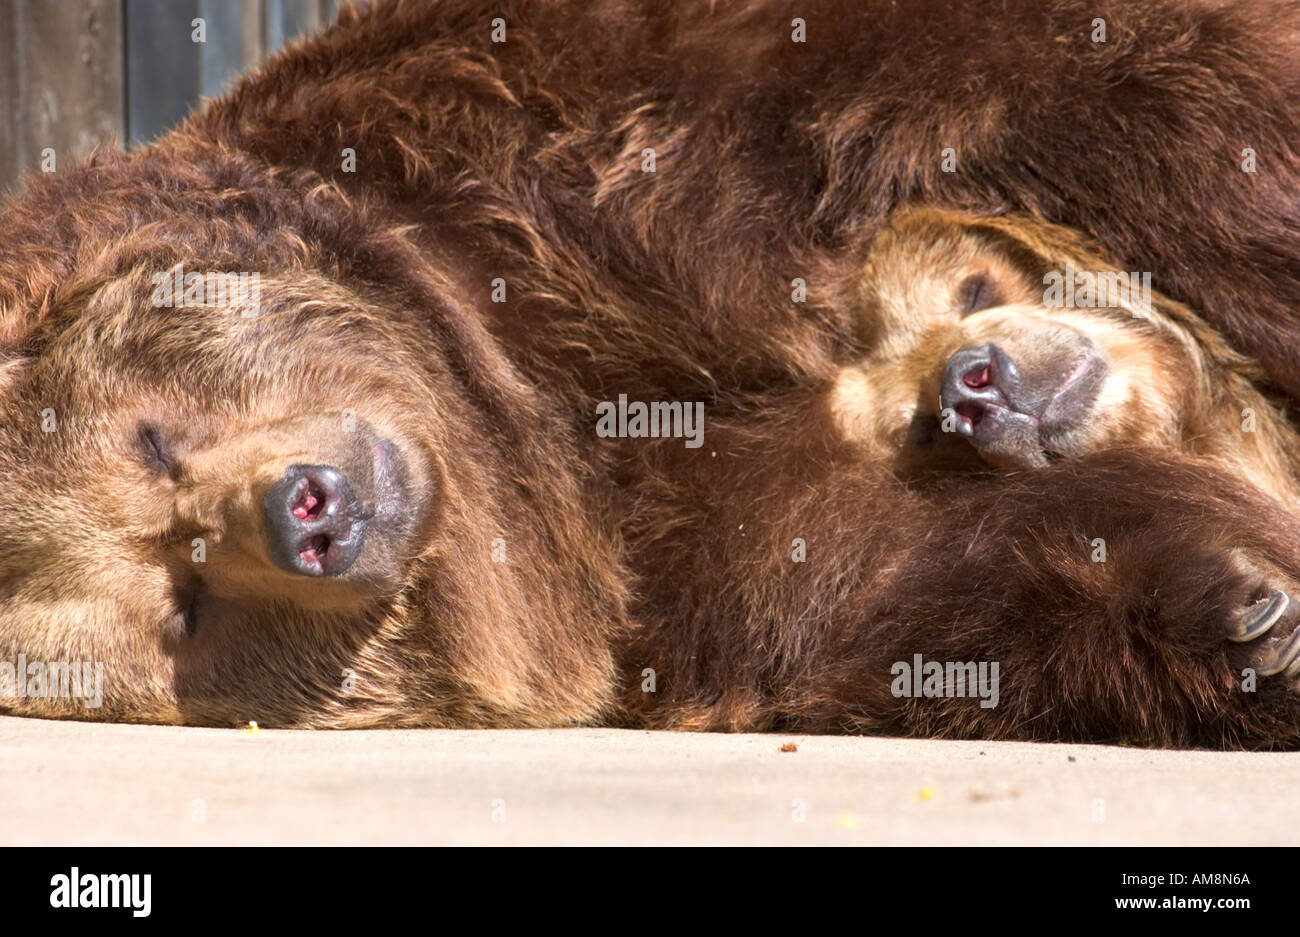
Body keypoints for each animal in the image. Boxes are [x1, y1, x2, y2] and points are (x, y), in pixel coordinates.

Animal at [3, 0, 1300, 747]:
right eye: (183, 605)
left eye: (152, 439)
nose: (303, 513)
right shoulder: (699, 558)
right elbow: (917, 586)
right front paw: (1237, 612)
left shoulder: (643, 132)